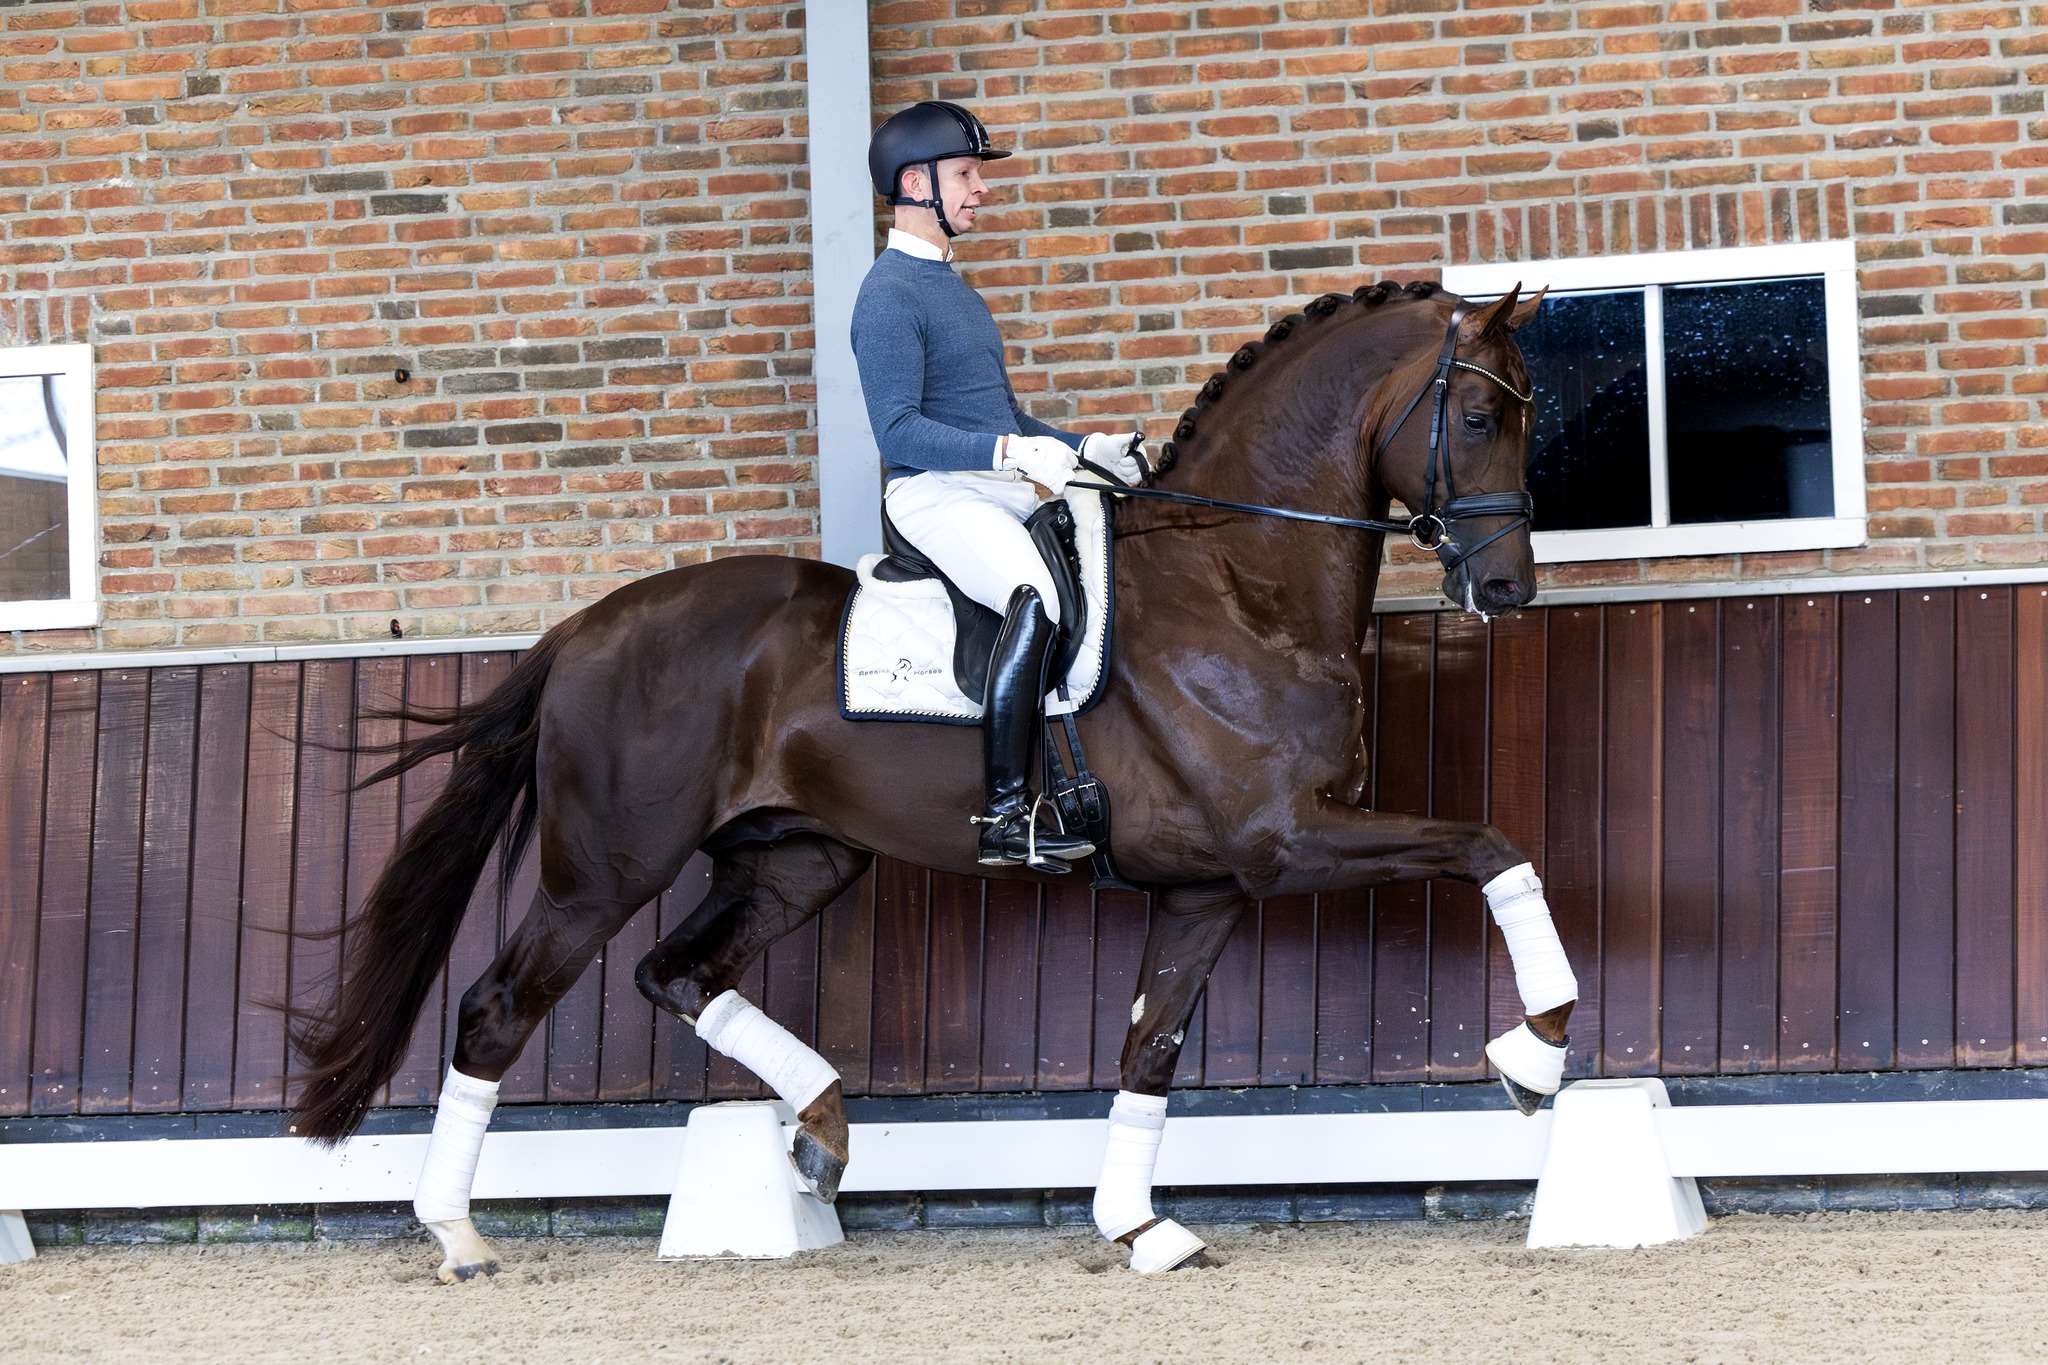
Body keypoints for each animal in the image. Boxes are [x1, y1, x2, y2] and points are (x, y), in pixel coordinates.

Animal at [286, 278, 1570, 1282]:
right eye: (1474, 414)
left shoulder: (1207, 885)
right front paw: (1534, 1056)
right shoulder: (1284, 841)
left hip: (797, 859)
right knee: (500, 1007)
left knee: (676, 973)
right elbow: (1491, 846)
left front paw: (1137, 1228)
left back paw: (820, 1125)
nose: (1507, 590)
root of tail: (583, 630)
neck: (1235, 585)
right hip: (603, 868)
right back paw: (457, 1235)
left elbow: (1148, 1051)